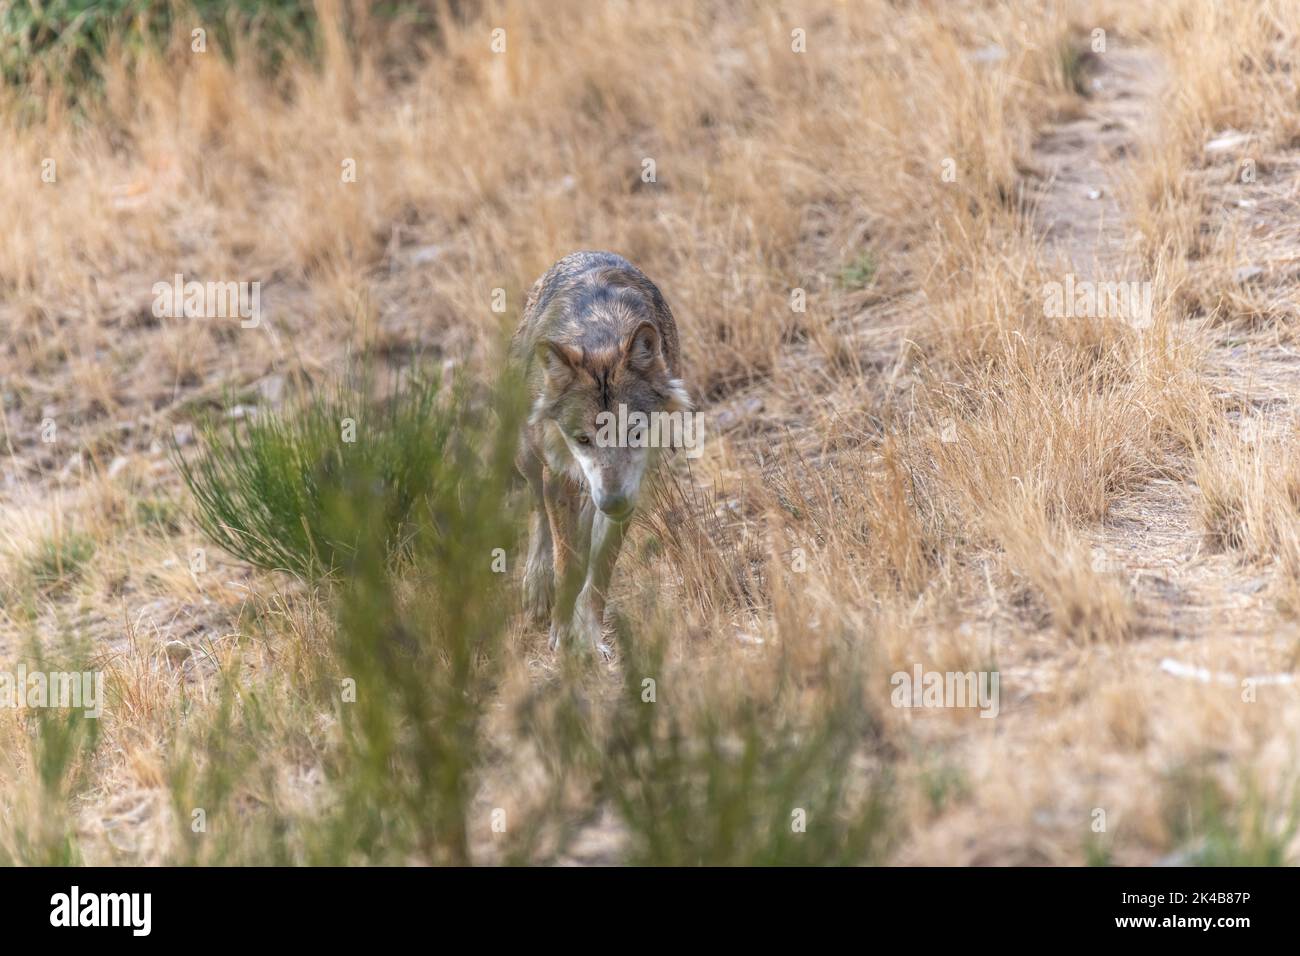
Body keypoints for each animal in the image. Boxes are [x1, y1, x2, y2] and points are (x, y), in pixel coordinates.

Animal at [512, 251, 691, 654]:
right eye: (582, 439)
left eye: (635, 432)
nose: (613, 503)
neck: (603, 333)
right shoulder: (559, 476)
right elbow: (565, 560)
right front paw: (562, 633)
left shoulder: (630, 489)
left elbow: (601, 570)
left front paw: (589, 635)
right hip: (529, 454)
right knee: (537, 509)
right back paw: (537, 586)